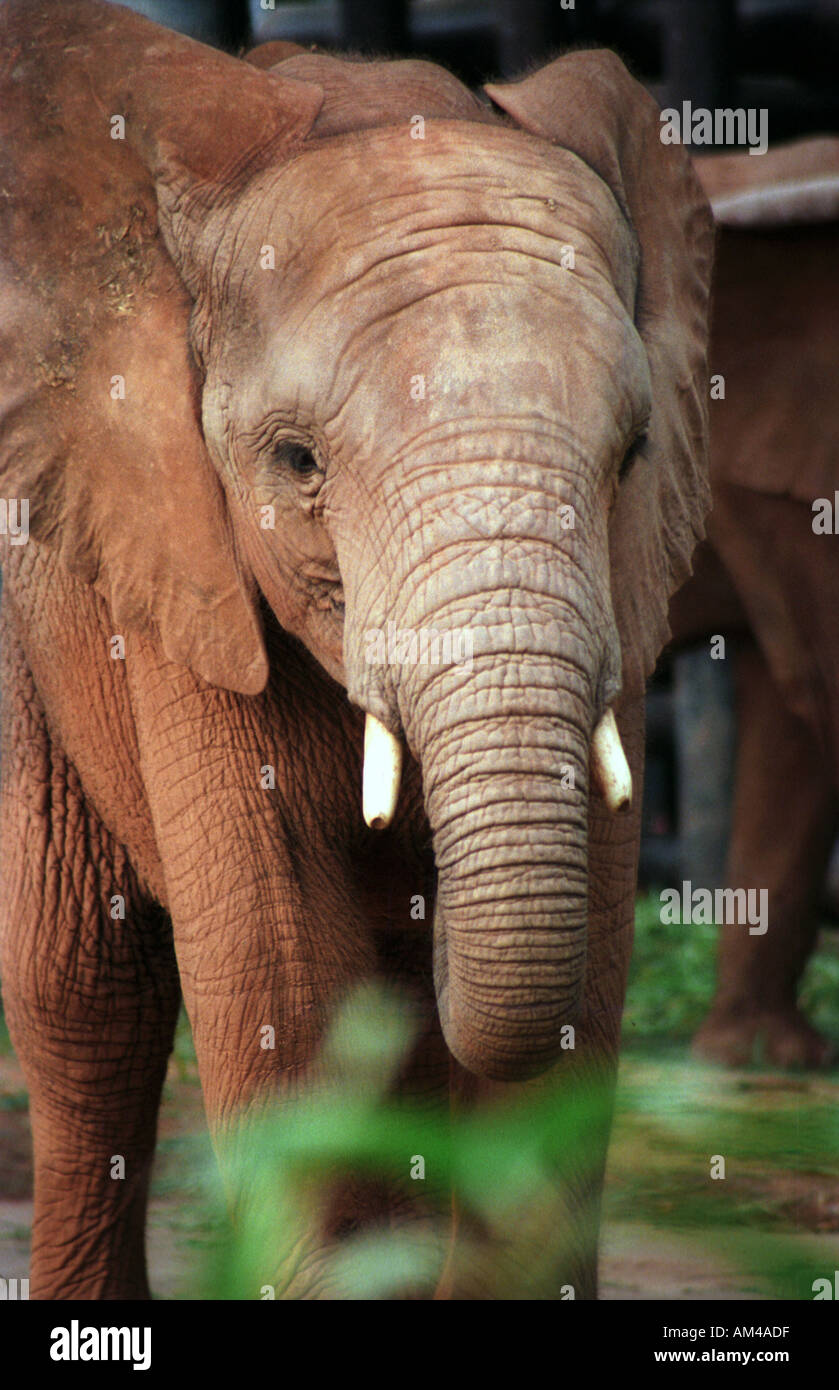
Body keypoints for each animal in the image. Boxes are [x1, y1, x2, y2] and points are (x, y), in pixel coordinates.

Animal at [0, 1, 712, 1298]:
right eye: (295, 462)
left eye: (632, 454)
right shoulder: (181, 573)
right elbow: (284, 974)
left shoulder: (622, 603)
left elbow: (582, 969)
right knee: (81, 996)